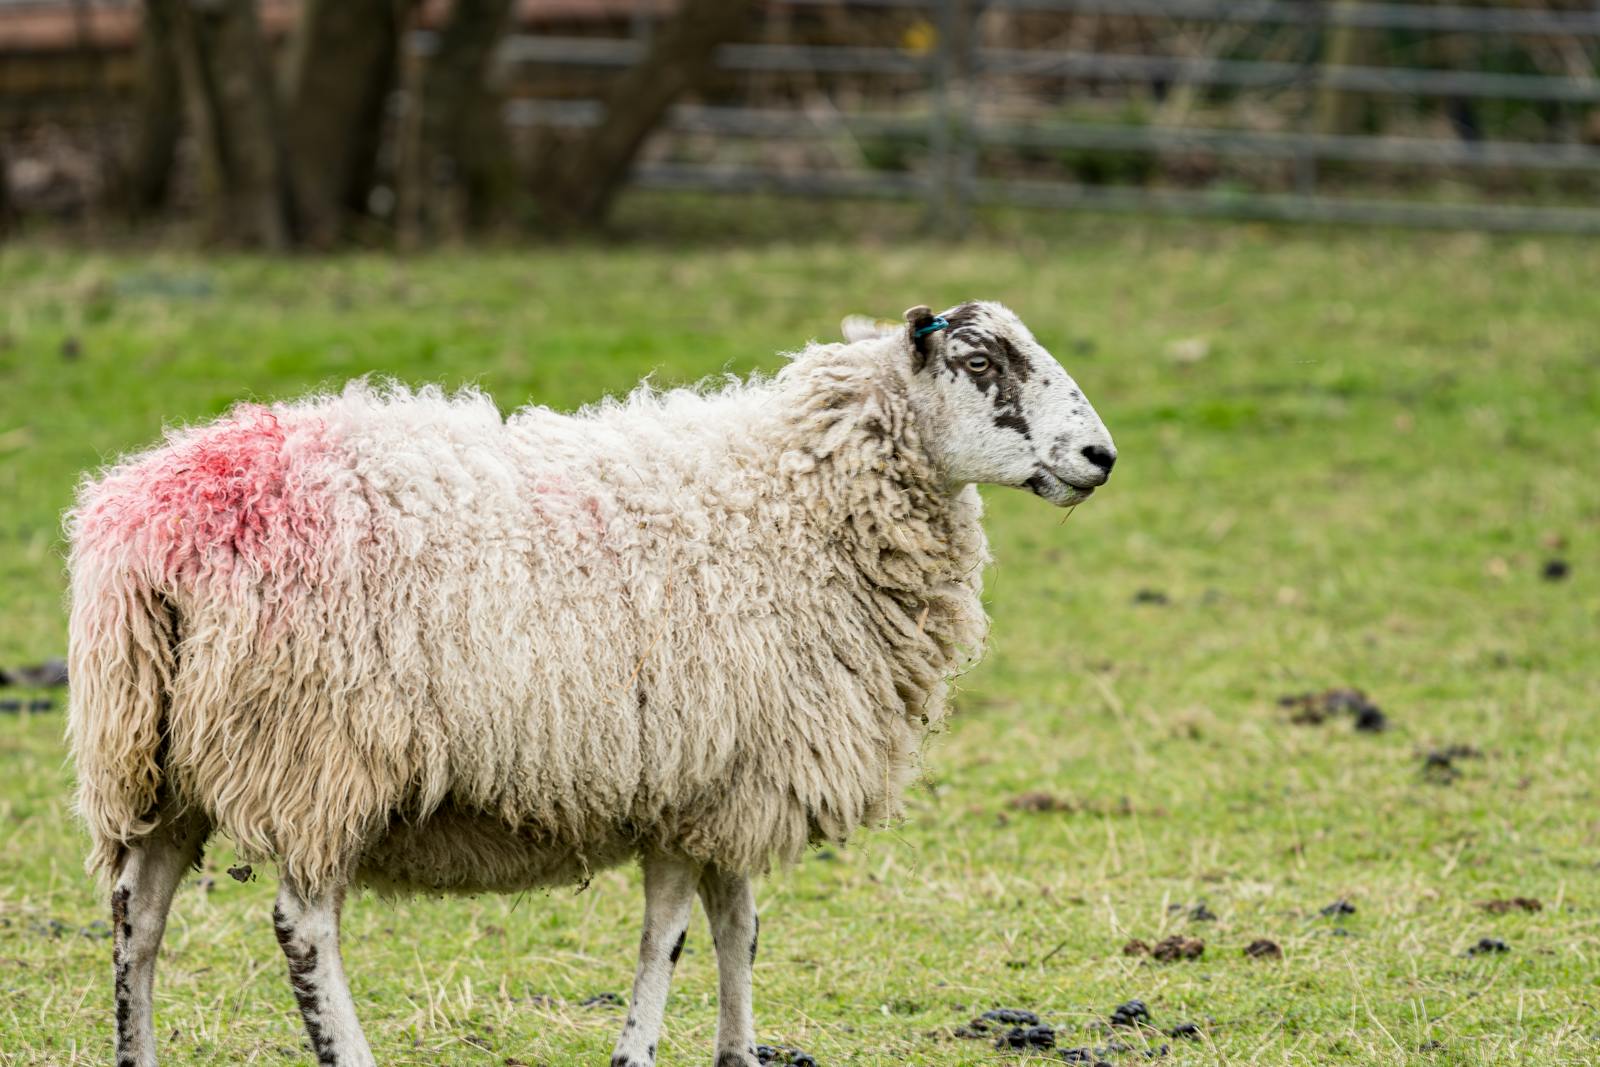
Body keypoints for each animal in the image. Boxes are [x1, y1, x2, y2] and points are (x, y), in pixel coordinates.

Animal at [67, 300, 1117, 1067]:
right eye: (979, 363)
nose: (1100, 456)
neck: (795, 496)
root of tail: (153, 518)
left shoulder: (731, 774)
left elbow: (738, 924)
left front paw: (737, 1053)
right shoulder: (688, 781)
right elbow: (671, 935)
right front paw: (639, 1051)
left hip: (157, 756)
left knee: (136, 914)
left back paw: (137, 1054)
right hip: (318, 749)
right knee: (301, 926)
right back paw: (349, 1051)